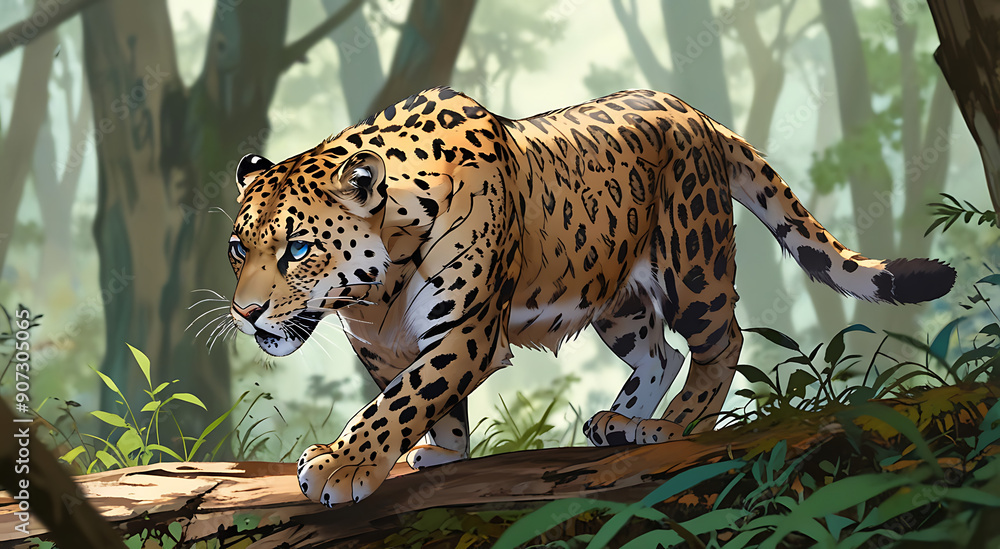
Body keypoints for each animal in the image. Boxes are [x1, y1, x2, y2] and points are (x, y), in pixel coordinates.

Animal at [226, 86, 956, 506]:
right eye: (238, 248)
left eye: (297, 250)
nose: (245, 312)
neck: (373, 293)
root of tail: (694, 112)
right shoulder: (385, 345)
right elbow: (426, 399)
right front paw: (446, 452)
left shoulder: (466, 329)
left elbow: (402, 400)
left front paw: (339, 464)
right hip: (615, 297)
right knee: (659, 352)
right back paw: (619, 421)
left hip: (690, 263)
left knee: (722, 341)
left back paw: (670, 425)